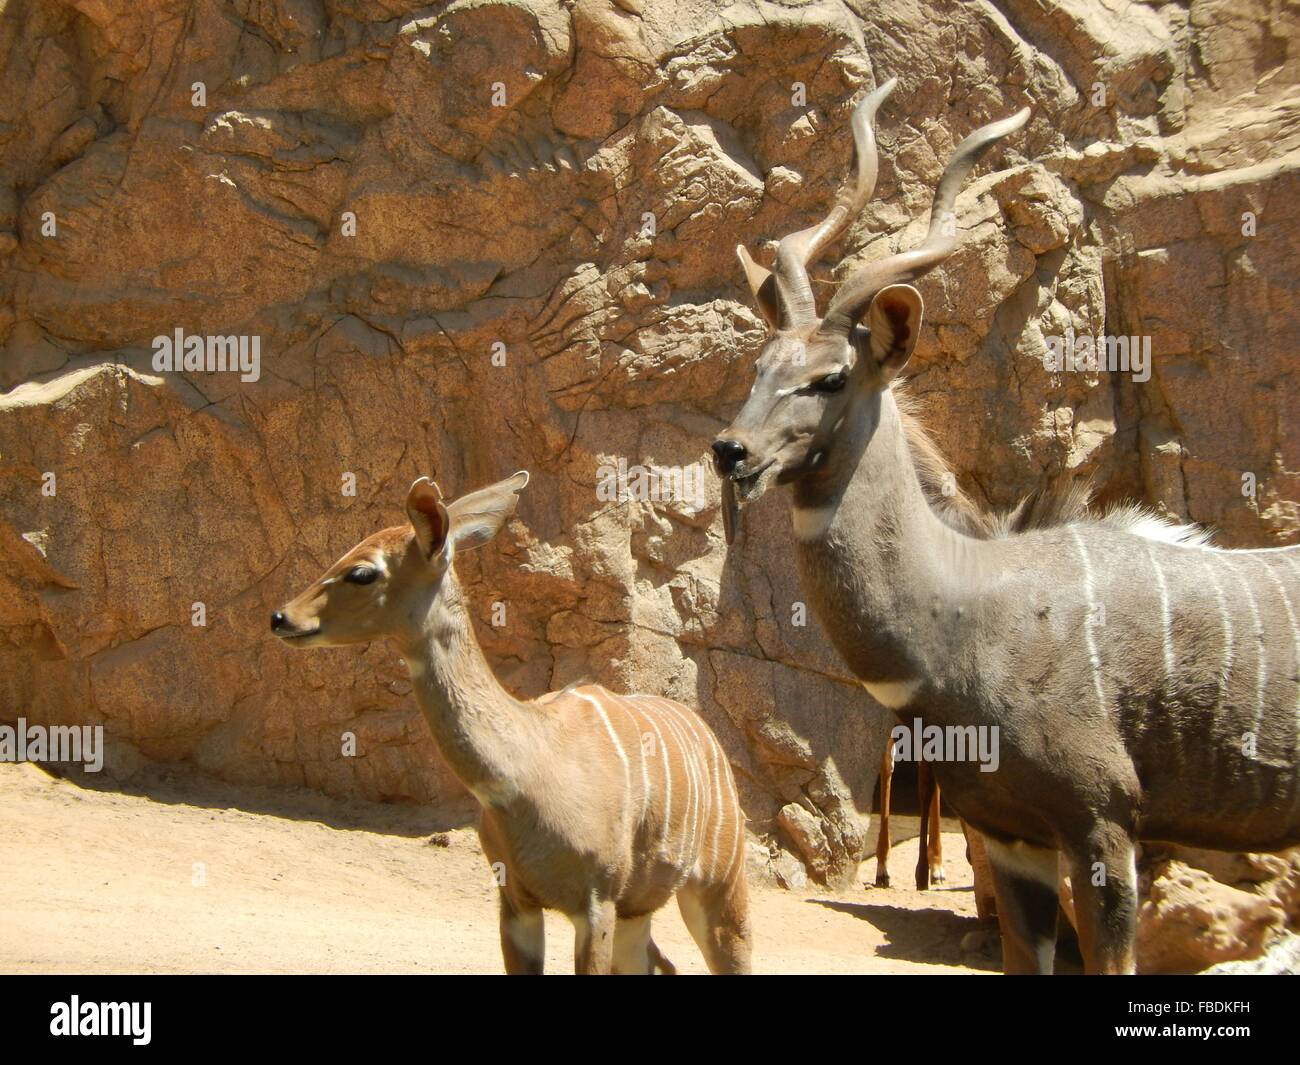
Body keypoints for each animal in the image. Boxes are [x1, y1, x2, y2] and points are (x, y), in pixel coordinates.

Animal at [272, 470, 751, 975]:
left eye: (362, 572)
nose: (280, 617)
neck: (528, 768)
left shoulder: (596, 902)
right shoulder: (517, 902)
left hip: (718, 886)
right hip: (637, 911)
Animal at [712, 78, 1300, 974]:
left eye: (832, 376)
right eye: (759, 365)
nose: (730, 451)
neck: (975, 608)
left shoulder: (1101, 825)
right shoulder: (1010, 833)